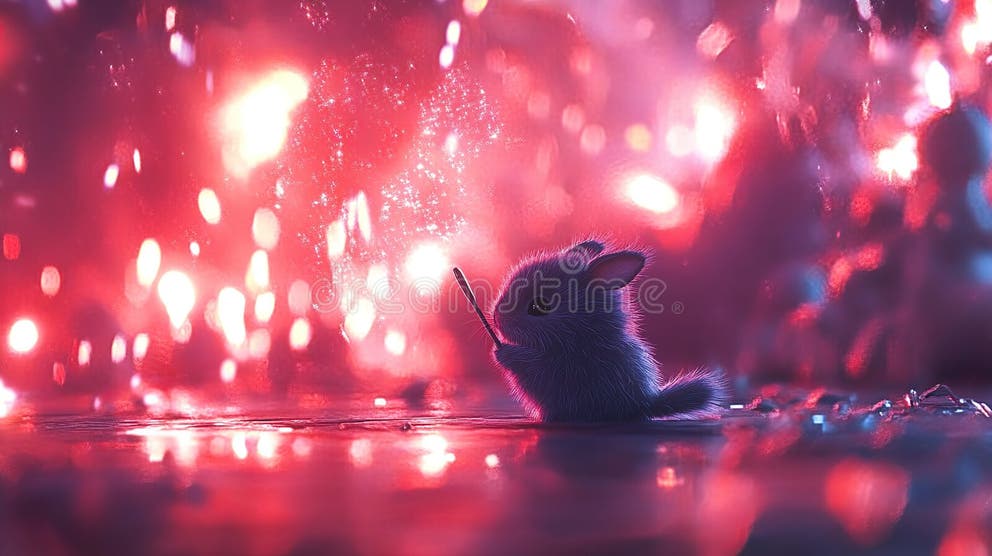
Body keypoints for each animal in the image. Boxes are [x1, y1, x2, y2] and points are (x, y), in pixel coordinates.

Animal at [490, 240, 726, 422]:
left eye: (539, 307)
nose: (496, 319)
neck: (582, 335)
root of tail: (645, 404)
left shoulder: (560, 366)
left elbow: (528, 363)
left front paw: (502, 353)